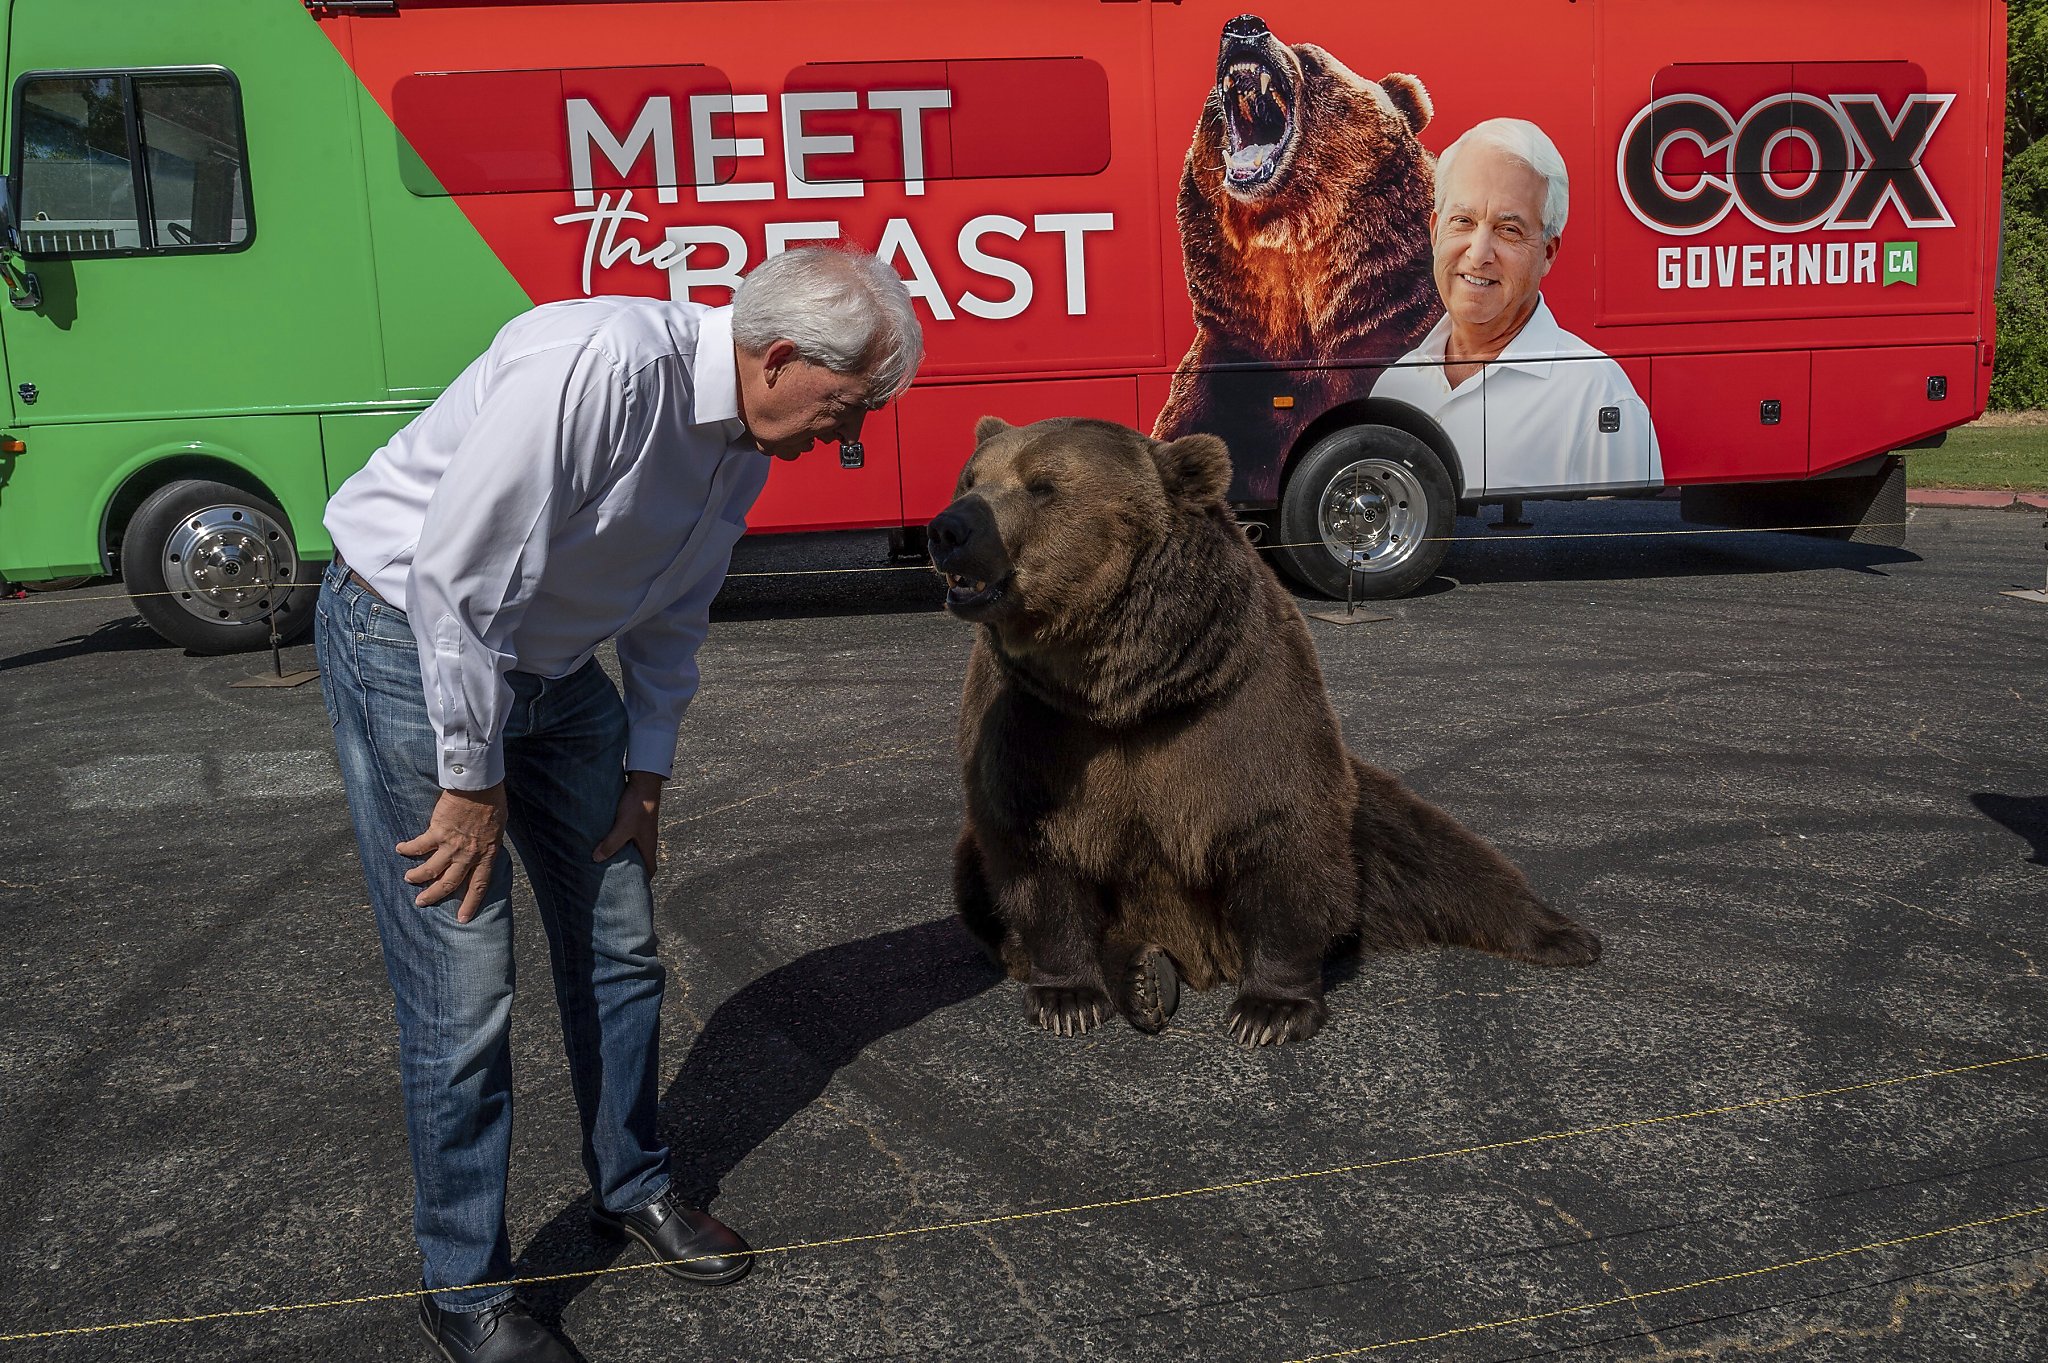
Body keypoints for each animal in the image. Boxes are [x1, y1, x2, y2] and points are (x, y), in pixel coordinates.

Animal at [926, 416, 1599, 1046]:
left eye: (1042, 485)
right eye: (970, 479)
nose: (948, 529)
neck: (1120, 688)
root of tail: (1202, 956)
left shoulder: (1239, 698)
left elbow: (1279, 829)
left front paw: (1270, 1010)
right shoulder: (1035, 723)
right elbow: (1034, 851)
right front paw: (1067, 999)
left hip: (1365, 816)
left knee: (1438, 855)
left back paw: (1563, 934)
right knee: (976, 878)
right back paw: (1146, 975)